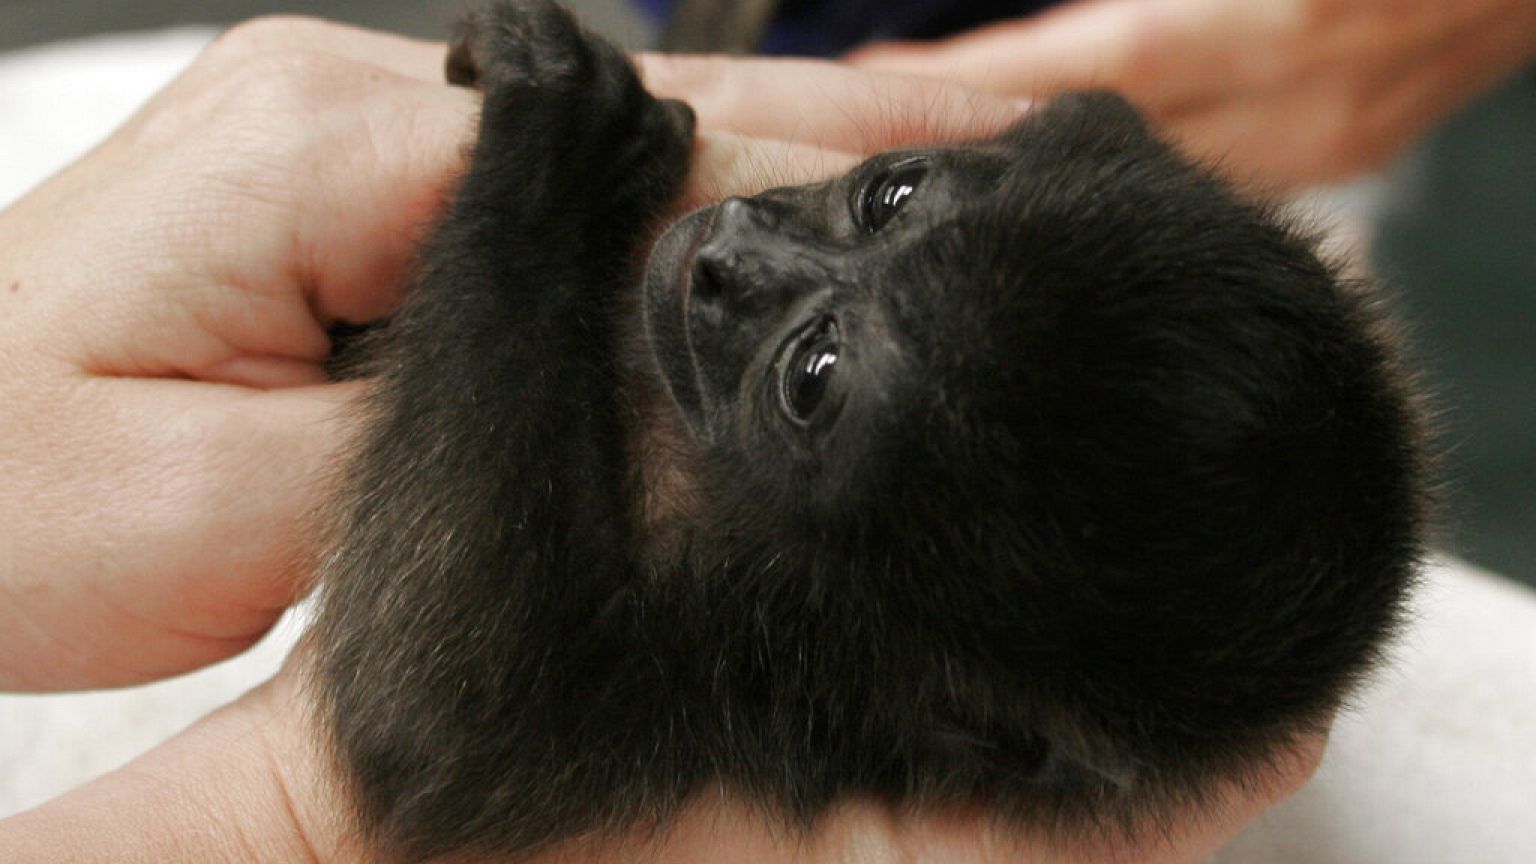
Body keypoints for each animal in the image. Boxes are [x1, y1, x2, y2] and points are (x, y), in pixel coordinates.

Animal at [310, 1, 1427, 861]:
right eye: (890, 195)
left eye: (814, 376)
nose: (728, 257)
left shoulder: (751, 669)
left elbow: (450, 728)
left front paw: (561, 140)